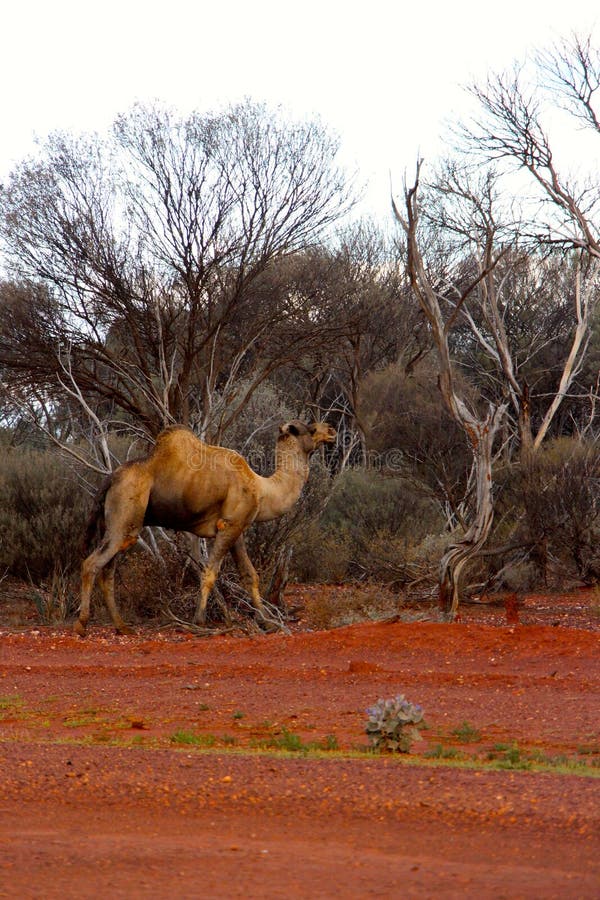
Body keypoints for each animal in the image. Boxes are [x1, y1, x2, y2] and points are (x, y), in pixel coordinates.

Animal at [75, 419, 336, 636]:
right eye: (311, 429)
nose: (331, 431)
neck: (262, 489)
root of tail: (111, 478)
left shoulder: (237, 528)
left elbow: (249, 575)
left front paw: (267, 623)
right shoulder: (229, 526)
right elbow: (209, 572)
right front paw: (199, 621)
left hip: (117, 525)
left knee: (107, 572)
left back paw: (122, 627)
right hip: (125, 517)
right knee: (91, 564)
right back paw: (82, 624)